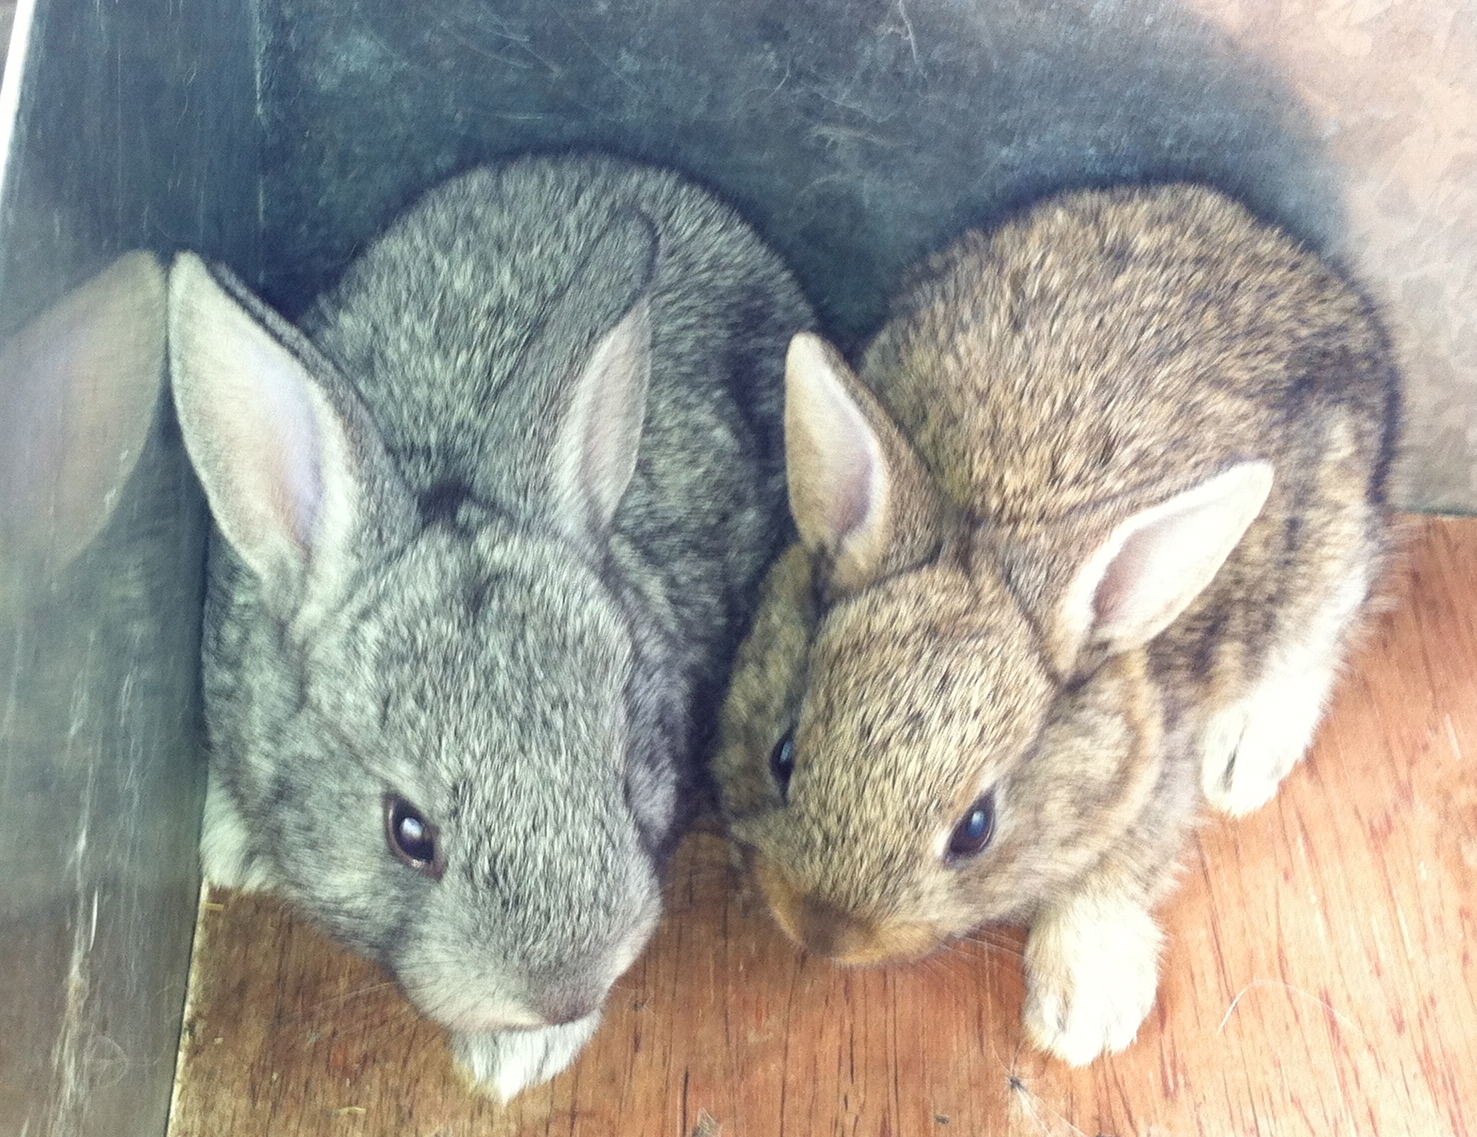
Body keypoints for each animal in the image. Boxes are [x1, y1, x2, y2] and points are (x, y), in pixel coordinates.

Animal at [712, 182, 1400, 1066]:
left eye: (975, 829)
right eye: (784, 755)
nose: (825, 931)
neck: (998, 516)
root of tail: (1291, 257)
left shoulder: (1153, 771)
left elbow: (1120, 865)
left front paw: (1083, 1012)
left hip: (1320, 548)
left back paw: (1245, 758)